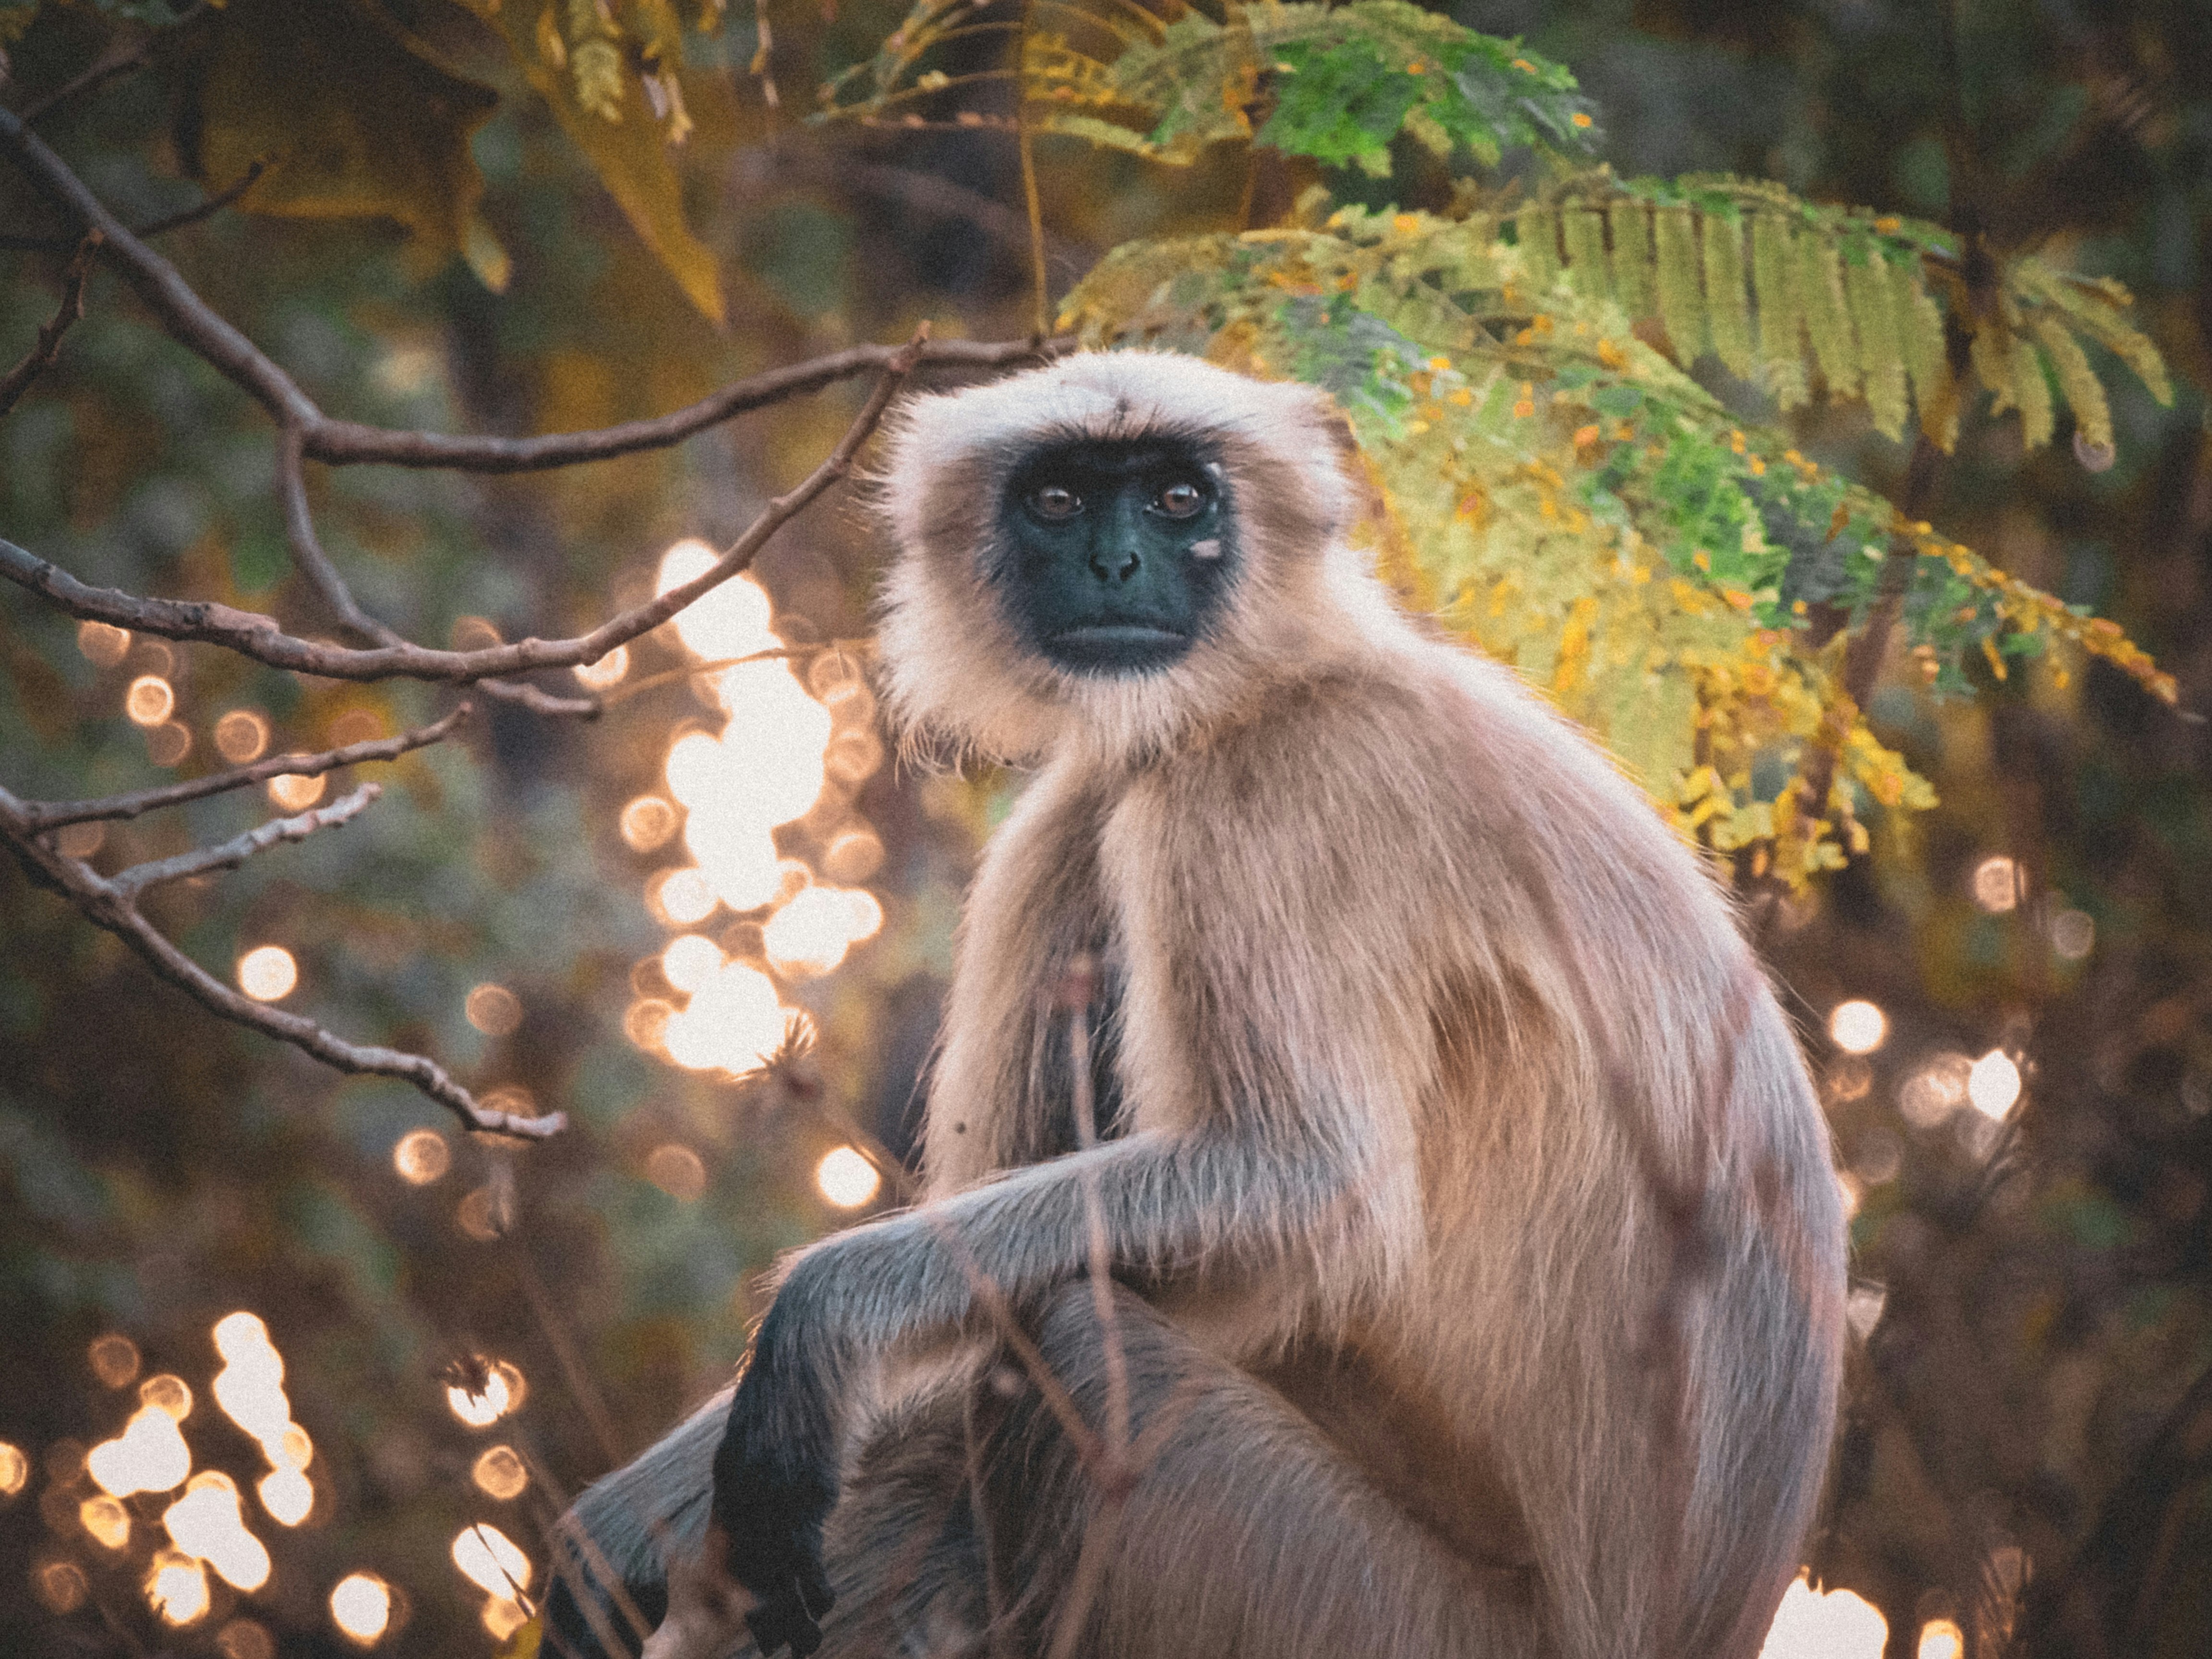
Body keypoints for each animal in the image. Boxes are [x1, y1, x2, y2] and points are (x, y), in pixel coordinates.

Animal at [544, 350, 1847, 1659]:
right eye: (1060, 500)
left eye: (1179, 500)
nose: (1117, 565)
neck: (1285, 676)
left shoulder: (1275, 786)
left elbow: (1307, 1183)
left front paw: (822, 1319)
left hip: (1367, 1604)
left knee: (1073, 1337)